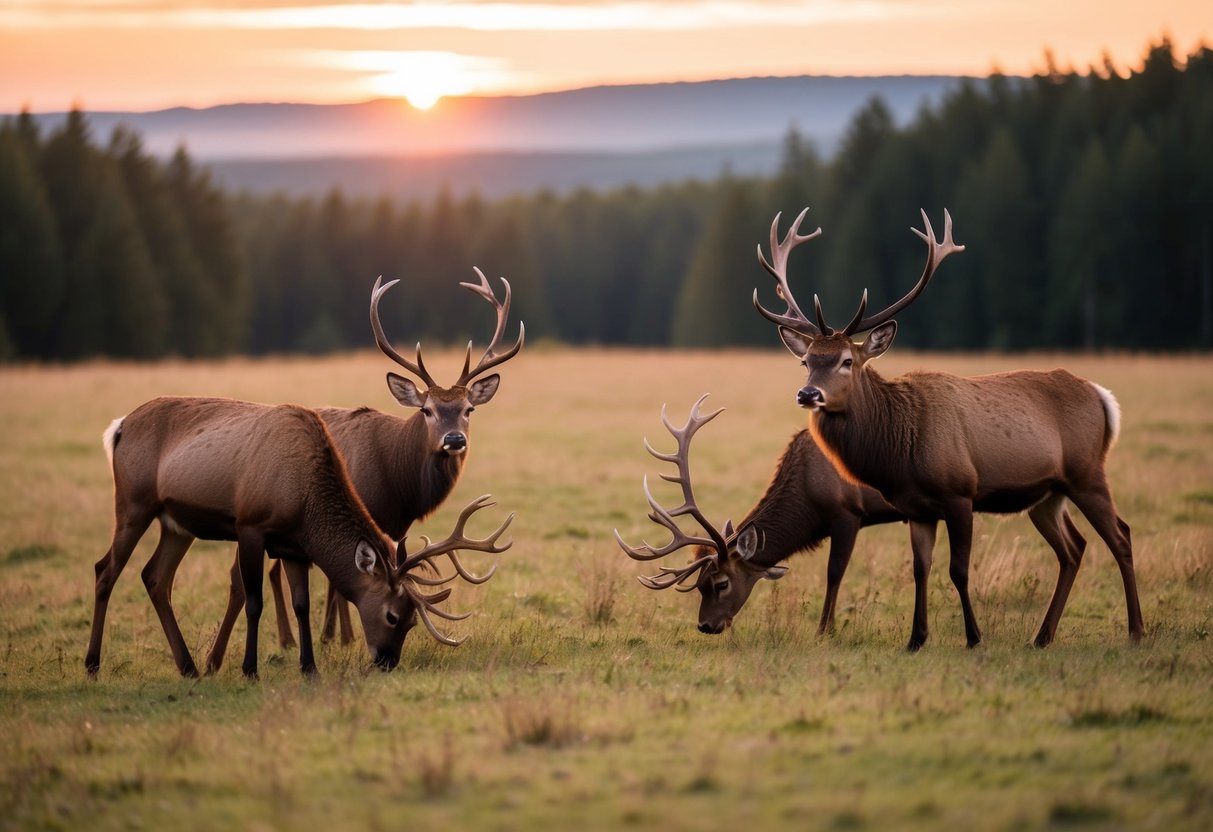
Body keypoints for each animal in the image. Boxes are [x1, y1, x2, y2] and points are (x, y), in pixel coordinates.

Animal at [85, 396, 513, 679]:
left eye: (411, 623)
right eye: (392, 615)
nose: (387, 661)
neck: (304, 504)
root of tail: (118, 427)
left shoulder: (293, 547)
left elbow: (302, 604)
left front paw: (309, 667)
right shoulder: (250, 525)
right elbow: (254, 600)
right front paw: (250, 669)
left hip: (177, 524)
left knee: (155, 577)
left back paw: (188, 666)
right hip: (134, 502)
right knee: (106, 569)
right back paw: (93, 664)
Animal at [204, 268, 523, 673]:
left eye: (469, 409)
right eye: (427, 409)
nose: (454, 440)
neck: (398, 482)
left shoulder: (392, 527)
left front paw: (336, 636)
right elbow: (339, 581)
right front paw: (341, 637)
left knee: (269, 571)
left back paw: (282, 640)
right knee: (240, 578)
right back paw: (224, 656)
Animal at [616, 396, 903, 634]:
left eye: (722, 583)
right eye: (699, 584)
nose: (705, 626)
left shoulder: (848, 512)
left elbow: (834, 573)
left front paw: (825, 632)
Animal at [751, 206, 1145, 650]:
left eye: (847, 361)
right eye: (807, 362)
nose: (808, 394)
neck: (900, 450)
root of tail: (1102, 396)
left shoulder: (960, 491)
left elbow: (958, 569)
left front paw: (974, 637)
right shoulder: (916, 508)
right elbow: (920, 569)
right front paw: (916, 639)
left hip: (1087, 472)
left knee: (1121, 536)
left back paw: (1136, 631)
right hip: (1048, 493)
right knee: (1074, 548)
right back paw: (1042, 636)